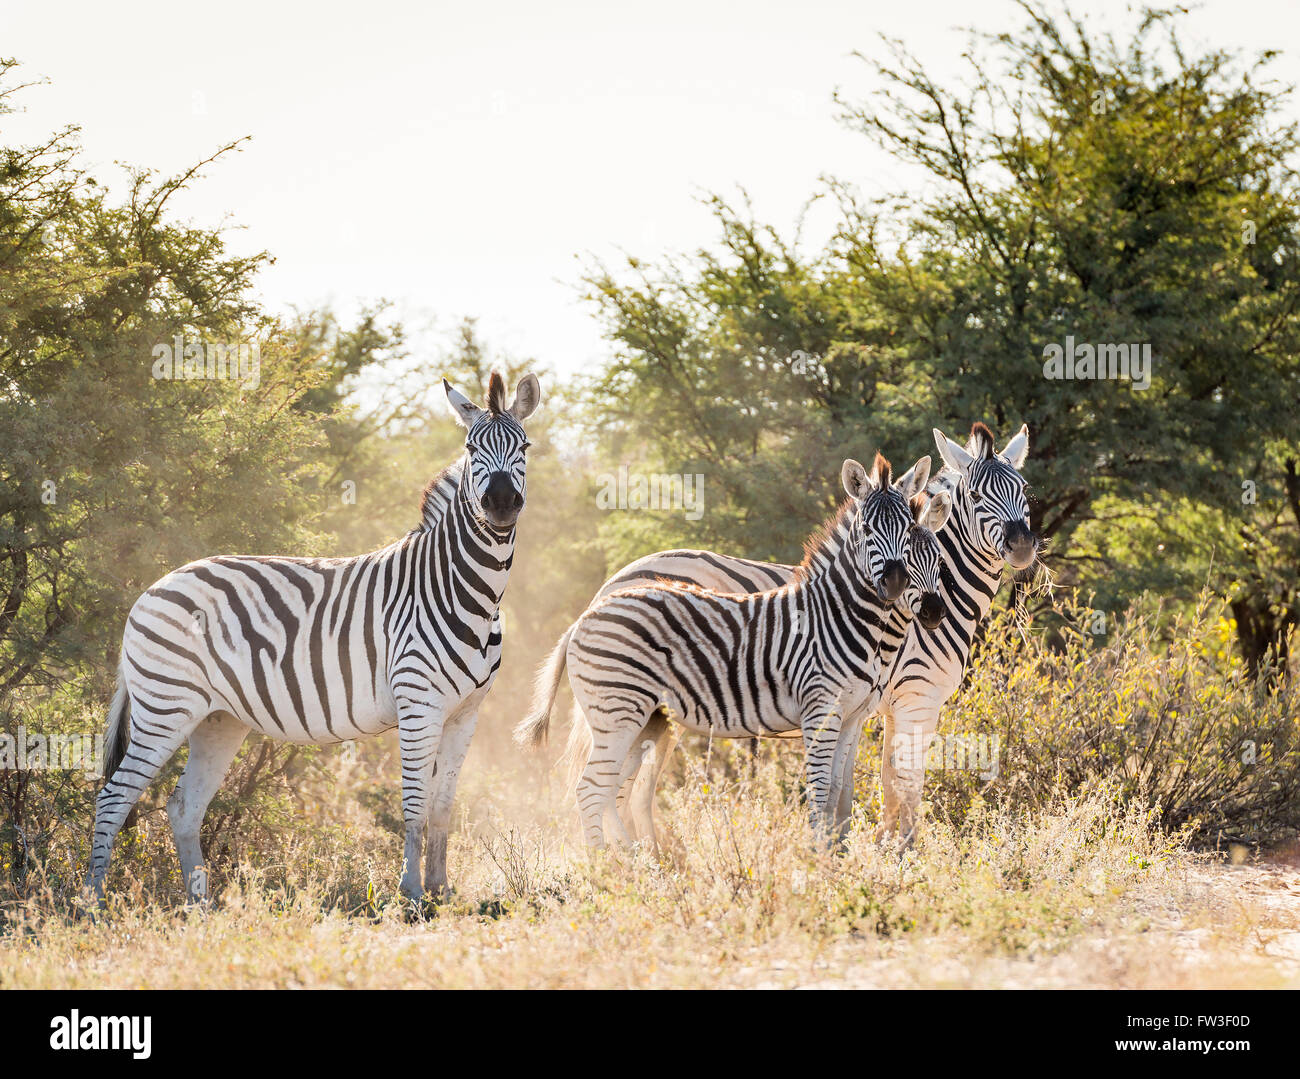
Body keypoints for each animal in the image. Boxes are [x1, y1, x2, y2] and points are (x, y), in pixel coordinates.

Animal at [87, 371, 541, 903]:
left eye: (525, 446)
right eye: (471, 449)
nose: (501, 504)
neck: (461, 590)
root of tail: (151, 589)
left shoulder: (465, 713)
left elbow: (444, 805)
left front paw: (442, 891)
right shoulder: (418, 703)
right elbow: (414, 805)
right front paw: (411, 893)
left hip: (217, 719)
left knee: (183, 806)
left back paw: (201, 904)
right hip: (165, 706)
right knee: (113, 798)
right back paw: (92, 903)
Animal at [544, 421, 1037, 848]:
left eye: (1024, 491)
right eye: (977, 495)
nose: (1021, 546)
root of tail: (607, 589)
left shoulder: (875, 706)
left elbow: (872, 783)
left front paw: (870, 849)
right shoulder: (915, 697)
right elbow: (903, 784)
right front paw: (900, 852)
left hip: (655, 716)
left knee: (623, 790)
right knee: (613, 789)